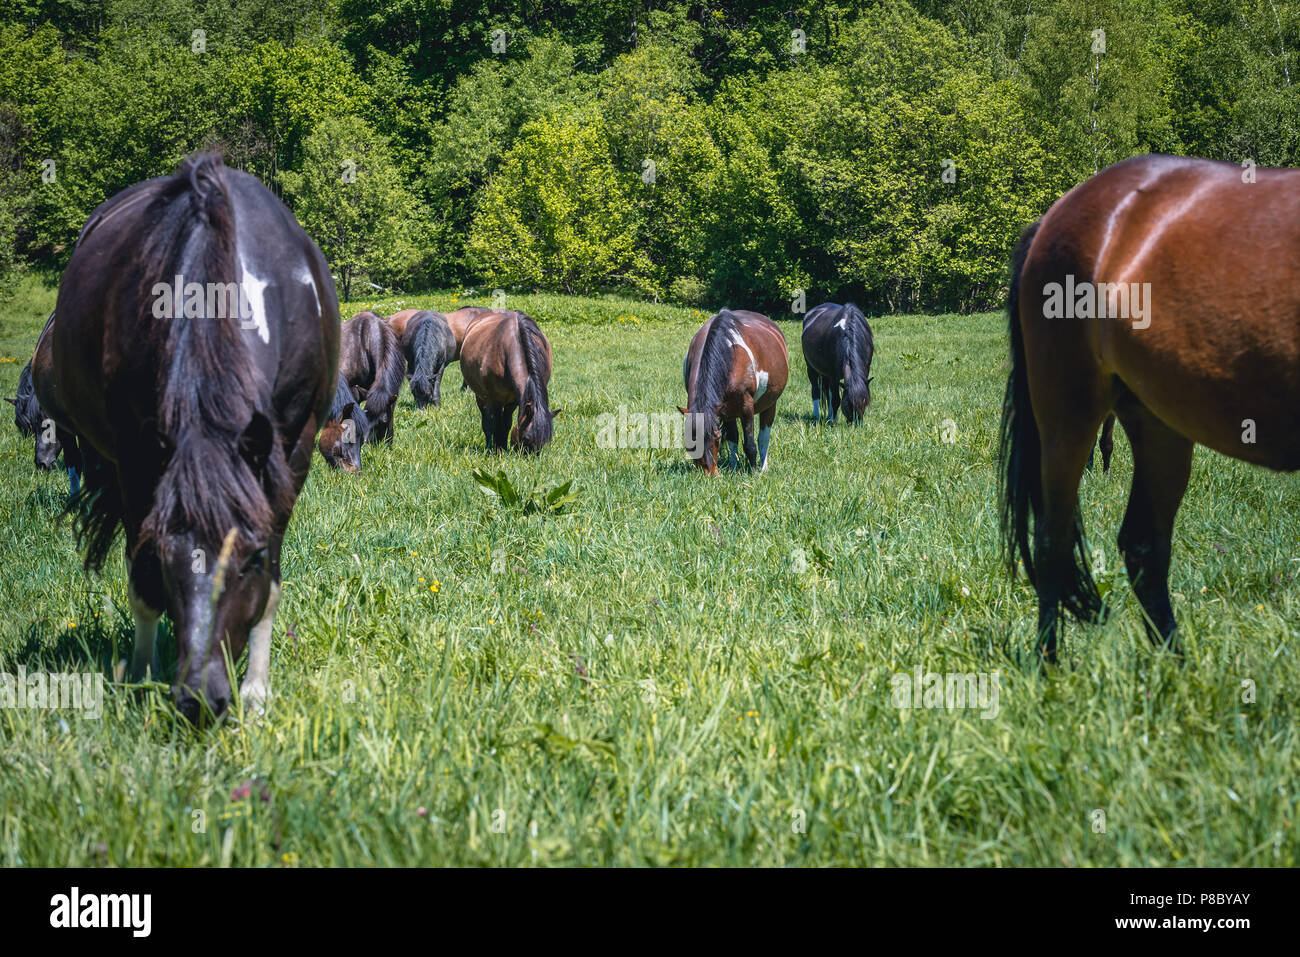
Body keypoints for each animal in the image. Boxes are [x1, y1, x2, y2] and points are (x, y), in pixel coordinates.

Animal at [34, 153, 339, 723]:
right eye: (165, 555)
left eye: (250, 559)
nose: (201, 698)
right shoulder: (136, 461)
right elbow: (142, 582)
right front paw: (143, 677)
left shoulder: (292, 452)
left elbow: (272, 582)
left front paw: (256, 692)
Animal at [460, 311, 558, 452]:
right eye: (526, 438)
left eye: (546, 442)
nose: (531, 456)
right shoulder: (495, 400)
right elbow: (495, 424)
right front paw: (497, 450)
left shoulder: (514, 401)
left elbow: (506, 424)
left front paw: (503, 447)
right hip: (481, 396)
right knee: (487, 422)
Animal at [679, 308, 789, 473]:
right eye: (690, 442)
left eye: (717, 438)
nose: (710, 473)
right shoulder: (726, 410)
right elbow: (733, 439)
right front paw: (733, 468)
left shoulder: (746, 405)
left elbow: (750, 443)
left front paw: (754, 472)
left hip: (770, 404)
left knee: (764, 437)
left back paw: (763, 468)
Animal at [1000, 153, 1300, 664]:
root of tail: (1054, 215)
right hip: (1067, 416)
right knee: (1053, 539)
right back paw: (1048, 665)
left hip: (1156, 422)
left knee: (1142, 545)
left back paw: (1177, 670)